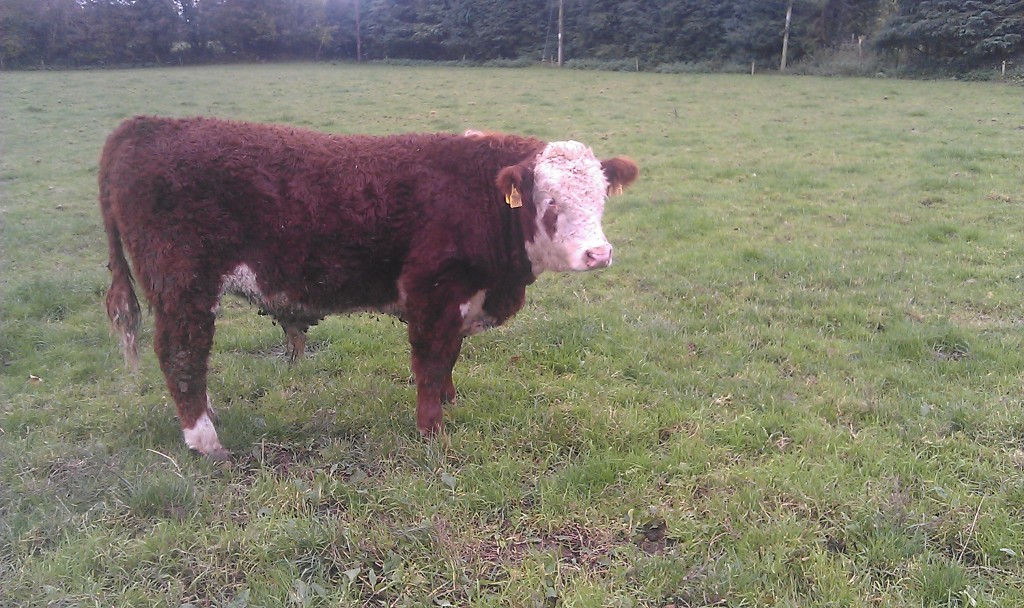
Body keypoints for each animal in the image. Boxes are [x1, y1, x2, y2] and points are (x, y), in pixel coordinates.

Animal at [100, 116, 638, 460]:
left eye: (600, 196)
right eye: (548, 202)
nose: (599, 254)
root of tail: (146, 124)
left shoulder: (461, 299)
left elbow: (450, 357)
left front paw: (450, 401)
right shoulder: (432, 292)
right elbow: (429, 363)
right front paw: (432, 431)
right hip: (182, 285)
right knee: (182, 354)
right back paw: (207, 442)